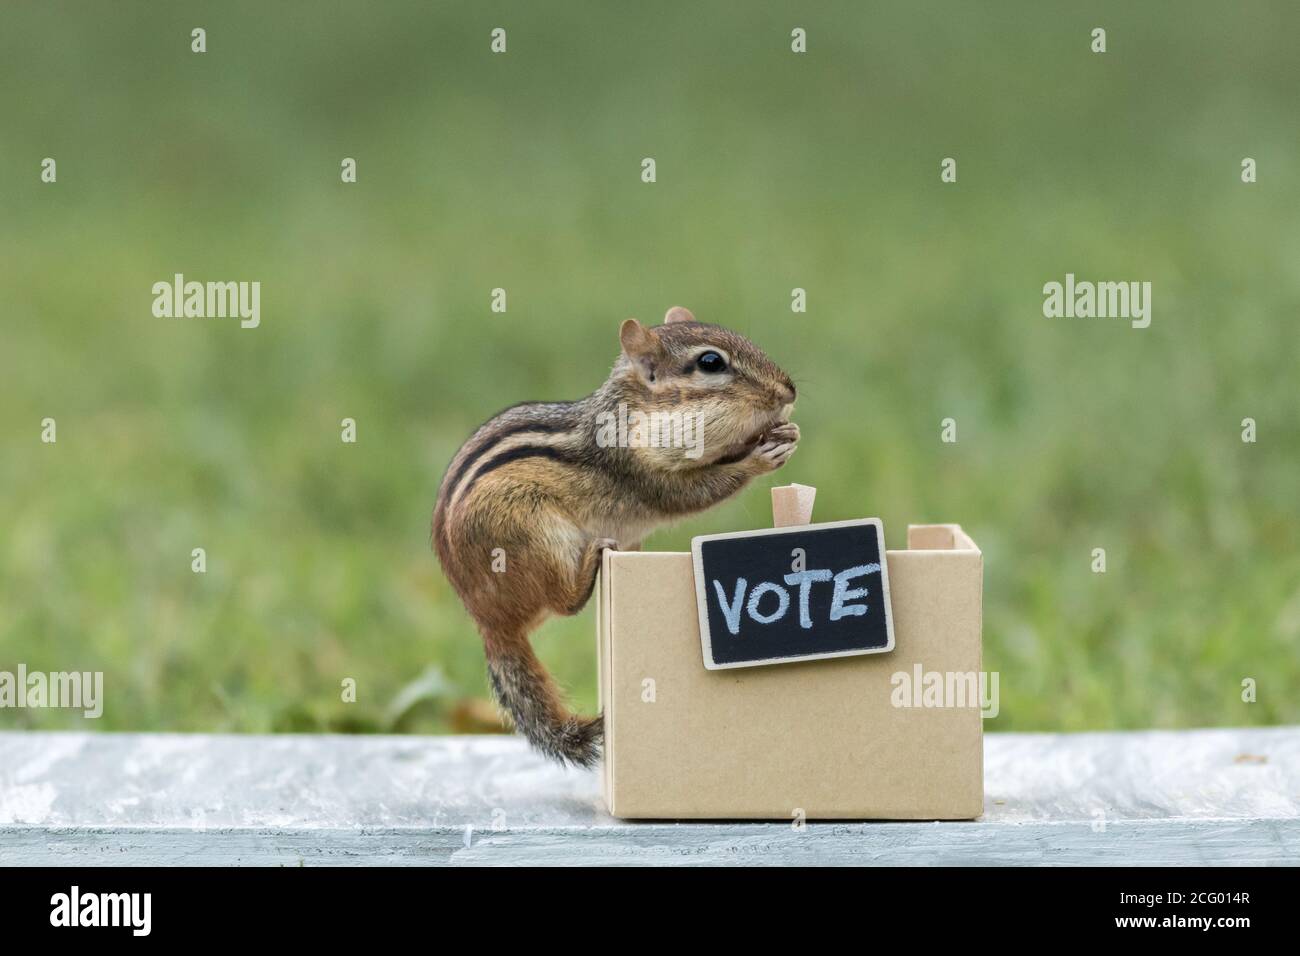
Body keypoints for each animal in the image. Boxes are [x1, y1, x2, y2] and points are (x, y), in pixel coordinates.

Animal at [432, 306, 798, 767]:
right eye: (711, 362)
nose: (789, 391)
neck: (633, 412)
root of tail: (487, 621)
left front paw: (784, 433)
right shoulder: (637, 469)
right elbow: (692, 492)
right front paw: (760, 457)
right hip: (535, 533)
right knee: (563, 603)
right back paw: (593, 558)